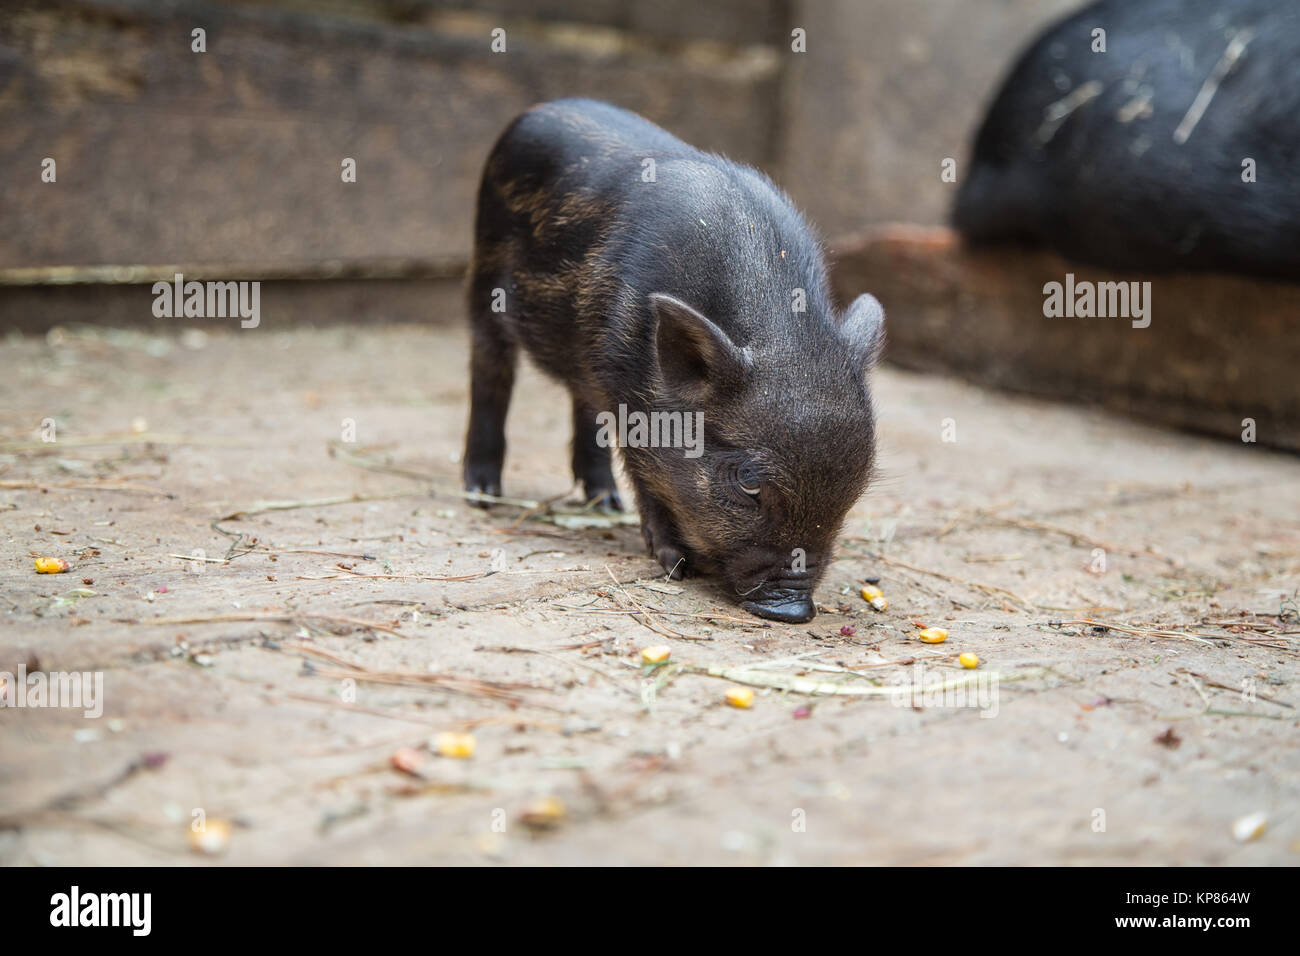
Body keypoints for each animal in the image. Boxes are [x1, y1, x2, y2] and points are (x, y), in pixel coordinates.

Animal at [462, 99, 886, 623]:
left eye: (857, 487)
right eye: (747, 481)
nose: (792, 609)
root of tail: (536, 110)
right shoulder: (628, 392)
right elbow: (649, 475)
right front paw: (674, 565)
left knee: (582, 404)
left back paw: (605, 505)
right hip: (484, 280)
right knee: (489, 375)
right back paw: (482, 493)